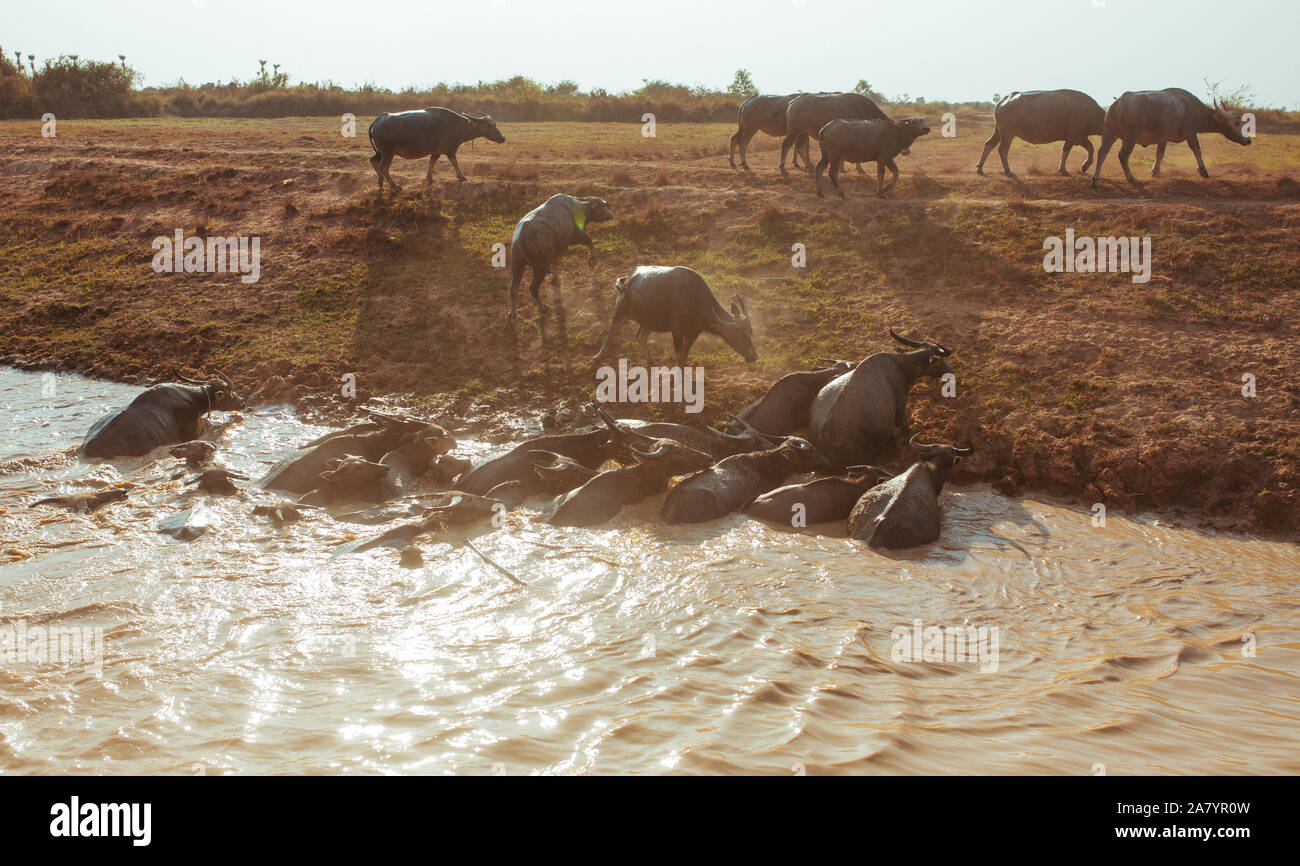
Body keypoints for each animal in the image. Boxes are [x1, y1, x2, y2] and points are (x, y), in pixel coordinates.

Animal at [367, 107, 505, 194]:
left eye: (495, 124)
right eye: (489, 125)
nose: (502, 138)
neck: (457, 125)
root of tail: (377, 121)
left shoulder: (436, 151)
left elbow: (432, 163)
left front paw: (430, 179)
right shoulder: (449, 149)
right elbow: (454, 162)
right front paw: (462, 177)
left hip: (380, 152)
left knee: (374, 161)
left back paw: (380, 182)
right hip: (388, 152)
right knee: (384, 167)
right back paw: (393, 185)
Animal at [592, 266, 757, 366]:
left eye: (750, 333)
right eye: (739, 335)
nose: (753, 356)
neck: (694, 299)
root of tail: (626, 280)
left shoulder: (693, 332)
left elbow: (685, 354)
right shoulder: (676, 331)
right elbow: (678, 355)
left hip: (649, 321)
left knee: (640, 337)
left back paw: (650, 361)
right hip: (620, 313)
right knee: (610, 334)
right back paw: (596, 357)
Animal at [976, 89, 1106, 177]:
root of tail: (1005, 99)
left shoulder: (1071, 139)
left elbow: (1065, 152)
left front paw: (1063, 169)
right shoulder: (1076, 137)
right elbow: (1090, 148)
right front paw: (1084, 166)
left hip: (998, 131)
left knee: (988, 144)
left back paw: (980, 168)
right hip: (1008, 133)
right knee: (1002, 149)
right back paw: (1008, 171)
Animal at [1090, 88, 1252, 187]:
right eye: (1237, 123)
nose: (1248, 140)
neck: (1191, 108)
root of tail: (1118, 104)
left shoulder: (1163, 139)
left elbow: (1160, 154)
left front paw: (1155, 171)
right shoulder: (1190, 133)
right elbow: (1197, 150)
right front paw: (1203, 171)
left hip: (1109, 133)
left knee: (1102, 152)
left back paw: (1096, 179)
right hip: (1130, 137)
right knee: (1123, 155)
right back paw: (1132, 178)